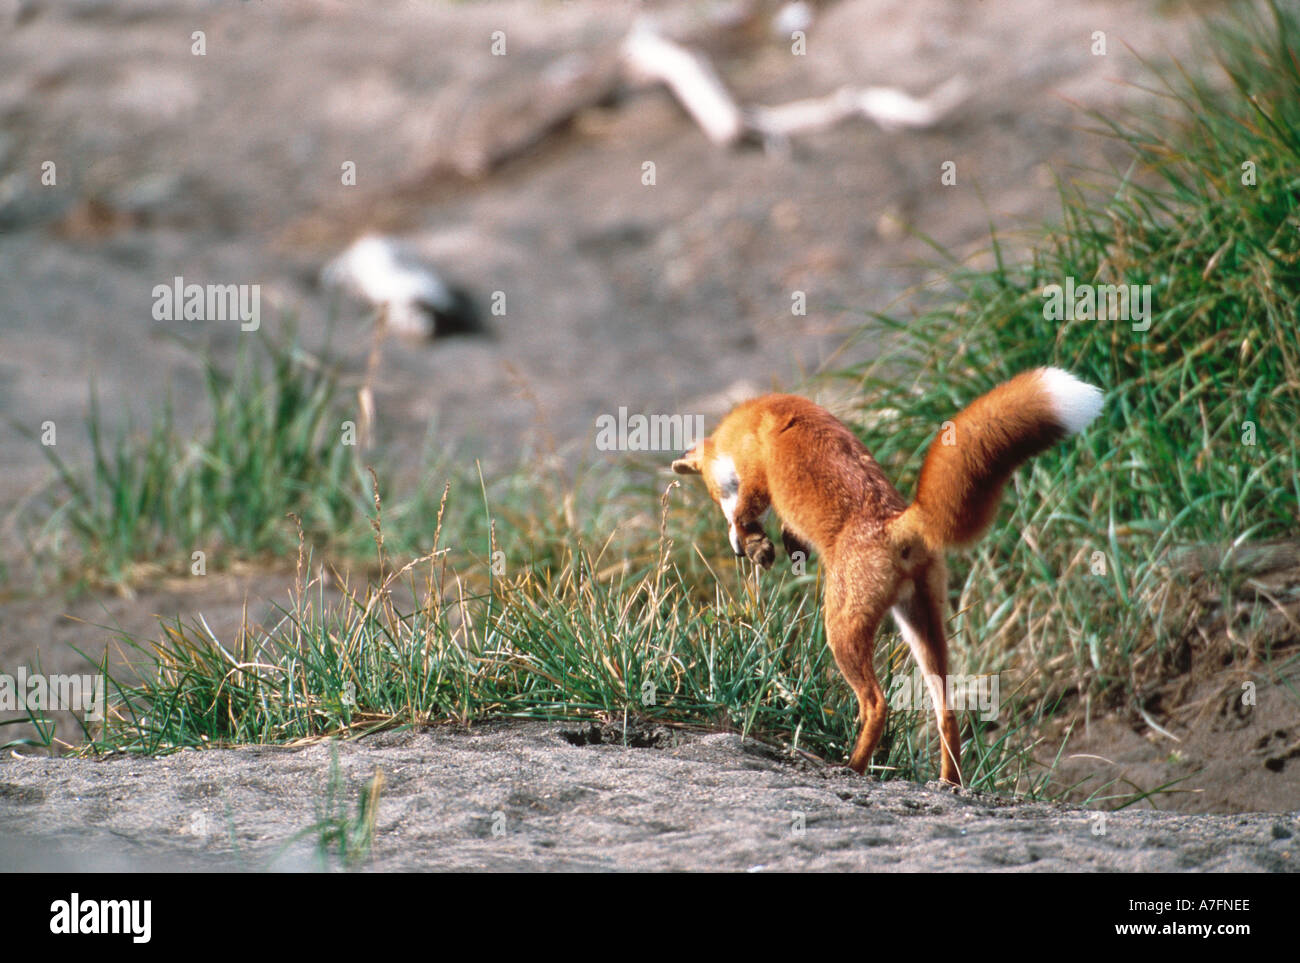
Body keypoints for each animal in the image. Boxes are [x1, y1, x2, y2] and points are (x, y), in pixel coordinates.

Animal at [671, 367, 1103, 785]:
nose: (734, 551)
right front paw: (783, 545)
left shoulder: (756, 477)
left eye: (715, 497)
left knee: (877, 704)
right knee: (947, 712)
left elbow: (747, 509)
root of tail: (896, 522)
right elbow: (787, 530)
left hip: (842, 632)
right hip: (922, 628)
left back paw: (853, 767)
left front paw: (755, 543)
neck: (755, 415)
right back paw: (949, 783)